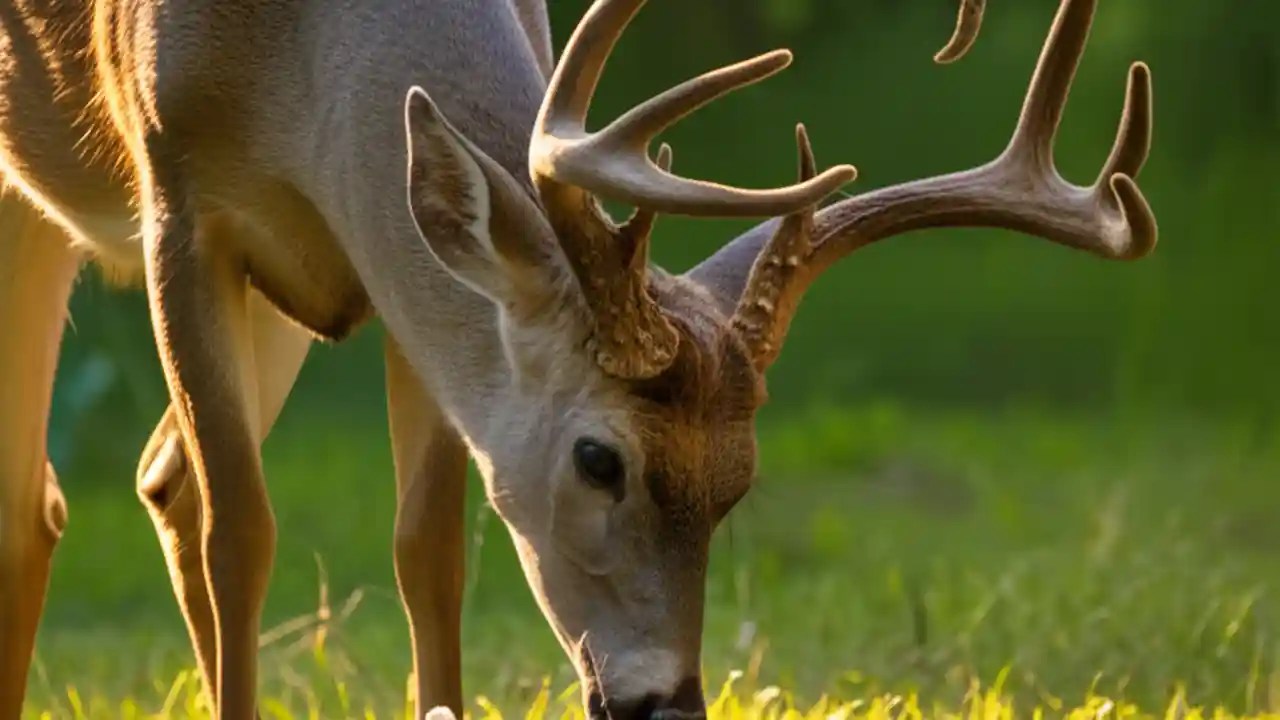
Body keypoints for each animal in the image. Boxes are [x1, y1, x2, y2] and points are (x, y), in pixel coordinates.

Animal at [0, 0, 1155, 716]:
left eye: (741, 481)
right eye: (601, 459)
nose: (664, 704)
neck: (293, 62)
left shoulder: (409, 270)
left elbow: (429, 548)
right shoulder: (180, 208)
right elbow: (243, 534)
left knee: (145, 479)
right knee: (71, 500)